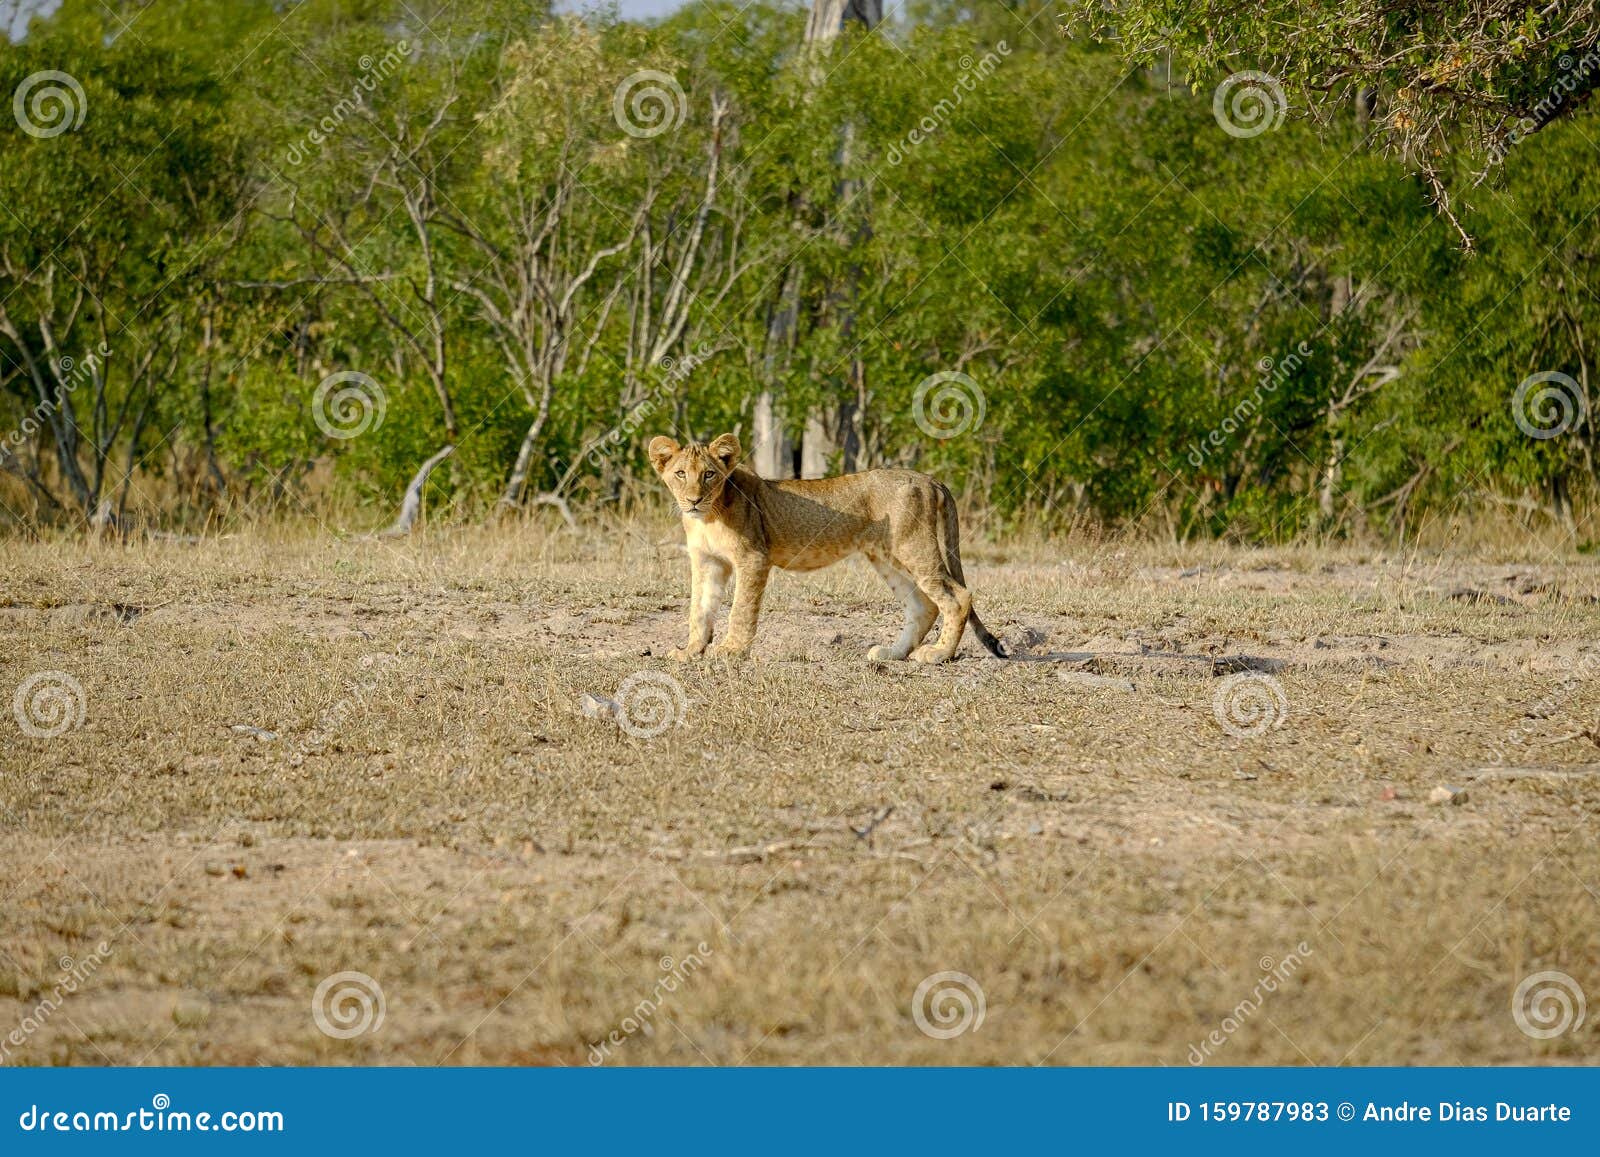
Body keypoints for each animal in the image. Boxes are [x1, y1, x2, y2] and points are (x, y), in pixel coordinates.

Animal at [648, 432, 1007, 663]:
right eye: (680, 473)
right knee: (924, 605)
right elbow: (699, 610)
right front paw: (689, 652)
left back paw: (938, 655)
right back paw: (892, 654)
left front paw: (730, 651)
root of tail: (929, 478)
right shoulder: (708, 562)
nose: (693, 500)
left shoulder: (753, 558)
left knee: (957, 597)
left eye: (709, 474)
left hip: (914, 547)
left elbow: (741, 610)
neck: (707, 518)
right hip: (886, 557)